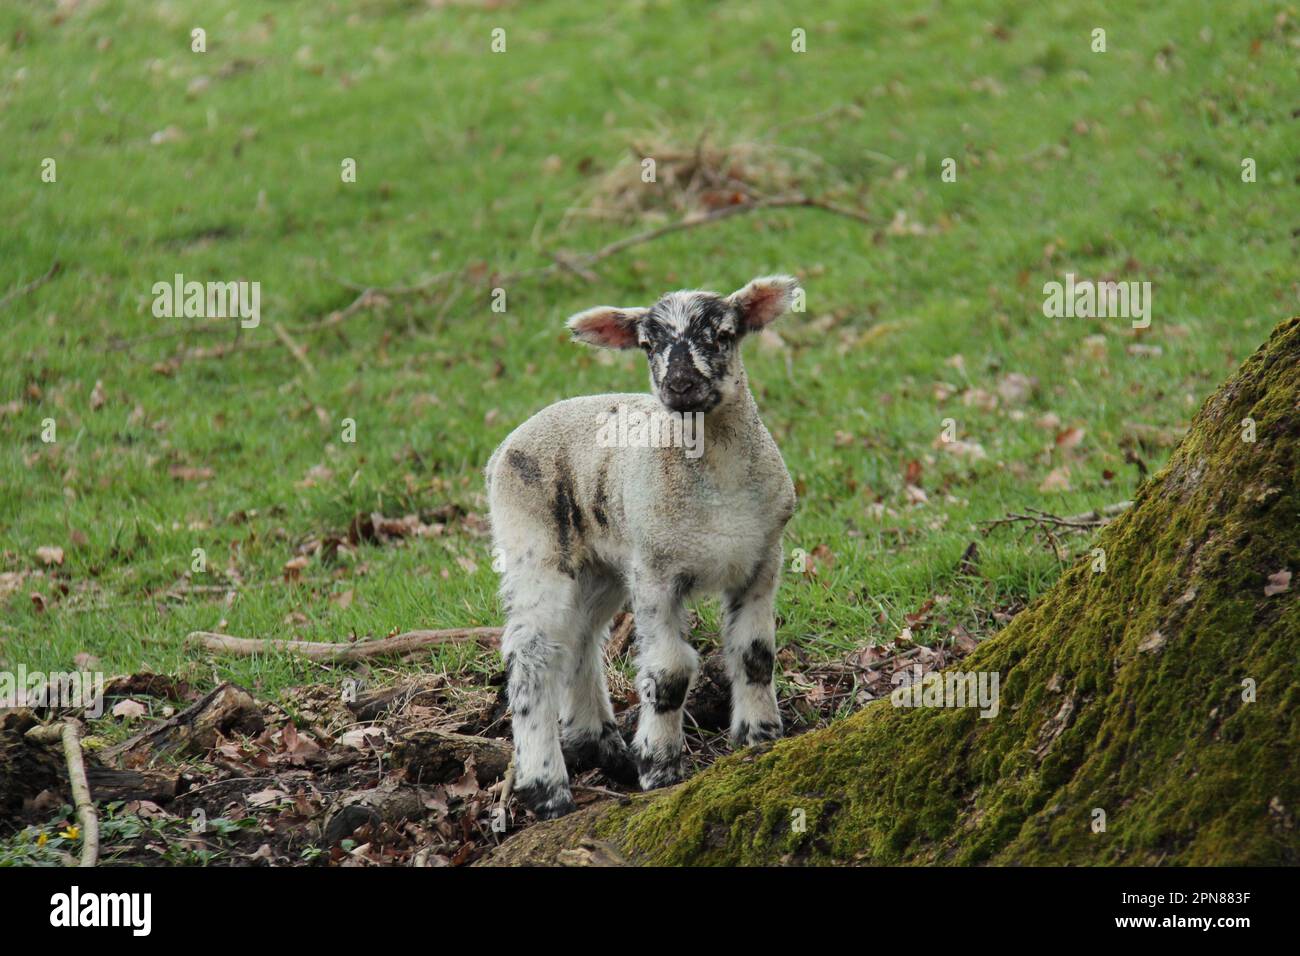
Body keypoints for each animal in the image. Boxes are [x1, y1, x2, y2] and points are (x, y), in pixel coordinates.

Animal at [485, 276, 799, 819]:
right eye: (648, 345)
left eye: (723, 334)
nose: (680, 385)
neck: (719, 486)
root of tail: (506, 446)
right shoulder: (657, 570)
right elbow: (668, 674)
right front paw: (660, 767)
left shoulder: (762, 560)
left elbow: (756, 654)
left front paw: (760, 737)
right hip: (534, 545)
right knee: (531, 657)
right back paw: (546, 788)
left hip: (602, 564)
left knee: (579, 639)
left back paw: (597, 743)